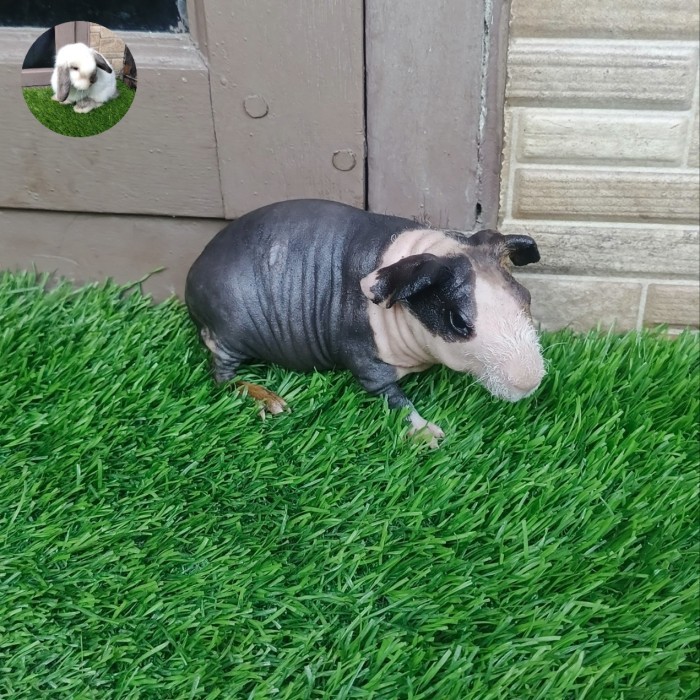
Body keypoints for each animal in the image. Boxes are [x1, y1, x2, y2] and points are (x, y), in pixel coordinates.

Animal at [185, 199, 545, 443]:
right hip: (229, 332)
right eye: (458, 322)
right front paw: (427, 434)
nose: (530, 383)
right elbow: (393, 398)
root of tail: (192, 277)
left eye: (526, 297)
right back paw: (269, 400)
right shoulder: (365, 358)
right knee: (221, 378)